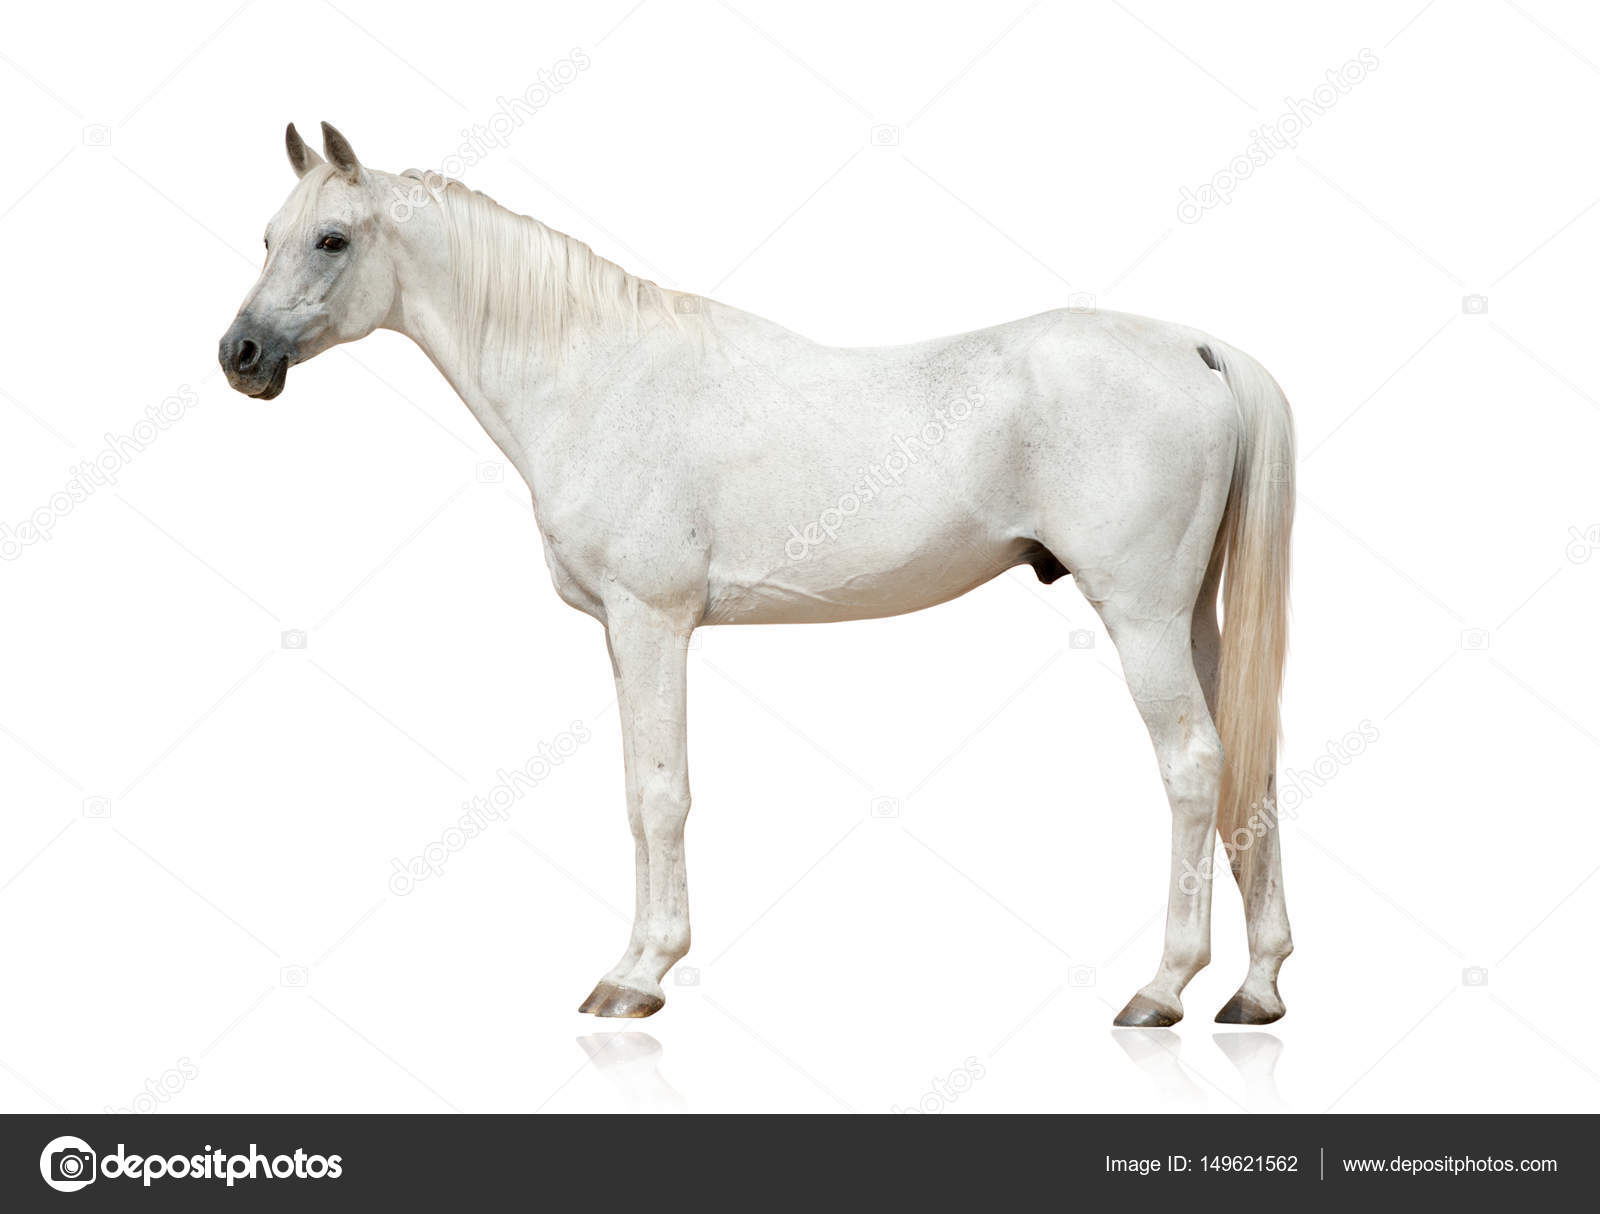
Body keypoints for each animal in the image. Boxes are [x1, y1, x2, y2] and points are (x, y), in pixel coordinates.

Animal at [219, 123, 1295, 1026]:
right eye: (268, 235)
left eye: (331, 239)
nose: (241, 354)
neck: (593, 376)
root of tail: (1202, 350)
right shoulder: (621, 632)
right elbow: (633, 790)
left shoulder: (652, 619)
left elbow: (661, 795)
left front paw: (639, 974)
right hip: (1193, 617)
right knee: (1250, 758)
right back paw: (1257, 988)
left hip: (1143, 615)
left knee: (1193, 765)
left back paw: (1162, 988)